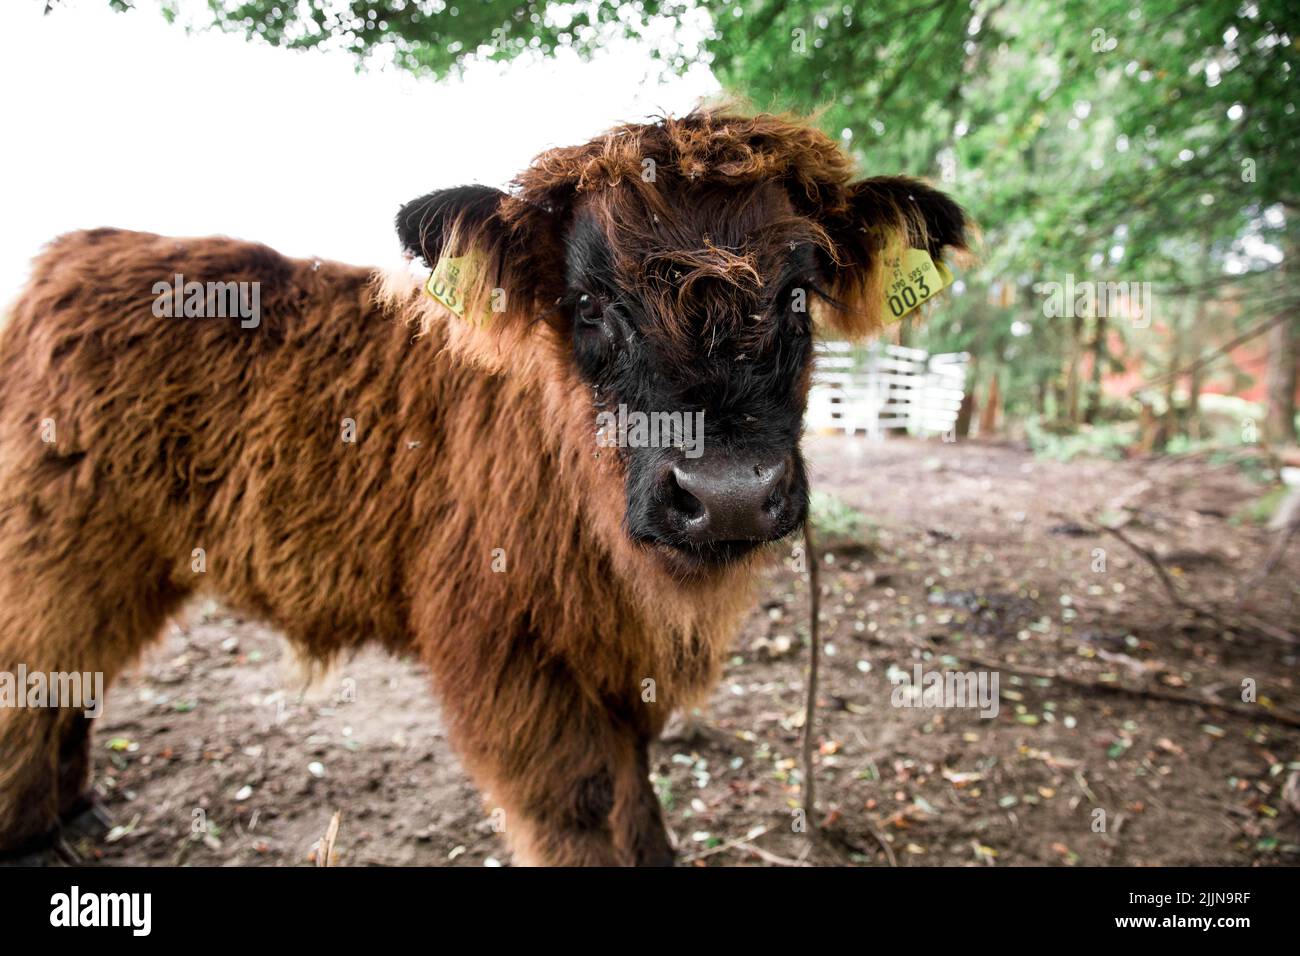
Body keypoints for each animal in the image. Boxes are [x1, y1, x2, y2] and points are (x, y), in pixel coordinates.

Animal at [0, 109, 966, 865]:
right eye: (590, 302)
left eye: (799, 295)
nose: (725, 491)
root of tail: (75, 255)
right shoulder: (504, 649)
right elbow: (579, 803)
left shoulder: (618, 657)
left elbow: (637, 788)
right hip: (55, 547)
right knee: (36, 672)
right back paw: (30, 834)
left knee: (73, 681)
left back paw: (74, 813)